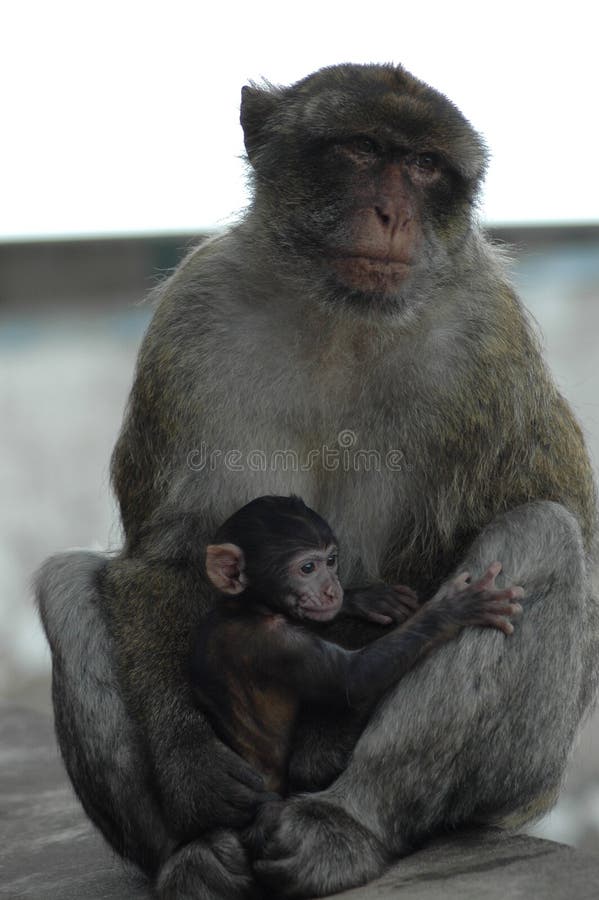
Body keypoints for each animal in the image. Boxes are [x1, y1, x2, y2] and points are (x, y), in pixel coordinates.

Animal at [192, 495, 523, 797]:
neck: (247, 607)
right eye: (308, 568)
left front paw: (366, 598)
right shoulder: (275, 642)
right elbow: (353, 679)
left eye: (331, 561)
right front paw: (453, 609)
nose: (332, 589)